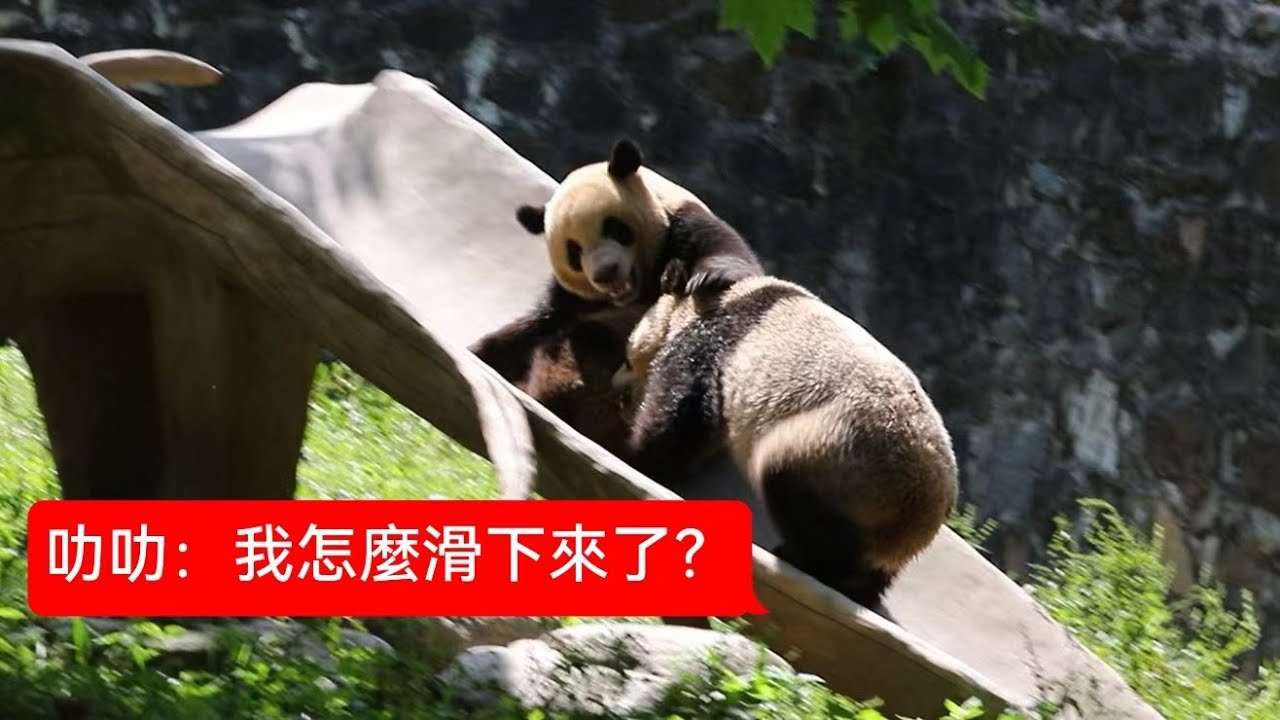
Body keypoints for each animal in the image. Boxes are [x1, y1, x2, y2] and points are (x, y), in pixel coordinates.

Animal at [470, 138, 764, 457]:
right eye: (574, 251)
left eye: (613, 228)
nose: (606, 273)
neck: (640, 288)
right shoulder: (574, 301)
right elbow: (536, 327)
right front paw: (481, 352)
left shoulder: (682, 222)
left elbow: (722, 246)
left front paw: (710, 274)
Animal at [611, 259, 960, 618]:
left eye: (627, 358)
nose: (618, 393)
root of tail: (918, 517)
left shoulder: (717, 342)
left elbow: (683, 409)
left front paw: (637, 454)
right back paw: (861, 587)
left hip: (845, 456)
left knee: (792, 485)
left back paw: (806, 559)